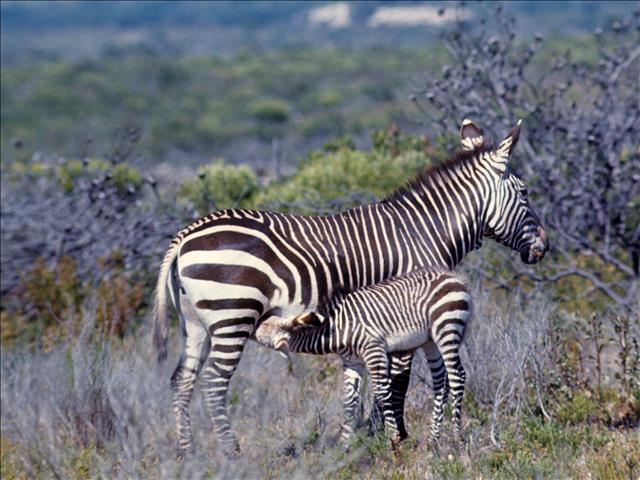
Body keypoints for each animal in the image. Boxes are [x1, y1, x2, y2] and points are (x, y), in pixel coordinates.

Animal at [256, 267, 471, 447]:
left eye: (261, 327)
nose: (253, 321)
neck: (334, 330)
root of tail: (457, 279)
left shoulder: (373, 350)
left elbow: (383, 392)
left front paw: (394, 440)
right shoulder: (353, 362)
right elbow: (349, 401)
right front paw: (344, 447)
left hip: (446, 328)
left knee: (457, 376)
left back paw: (457, 437)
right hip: (430, 341)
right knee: (441, 382)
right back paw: (434, 440)